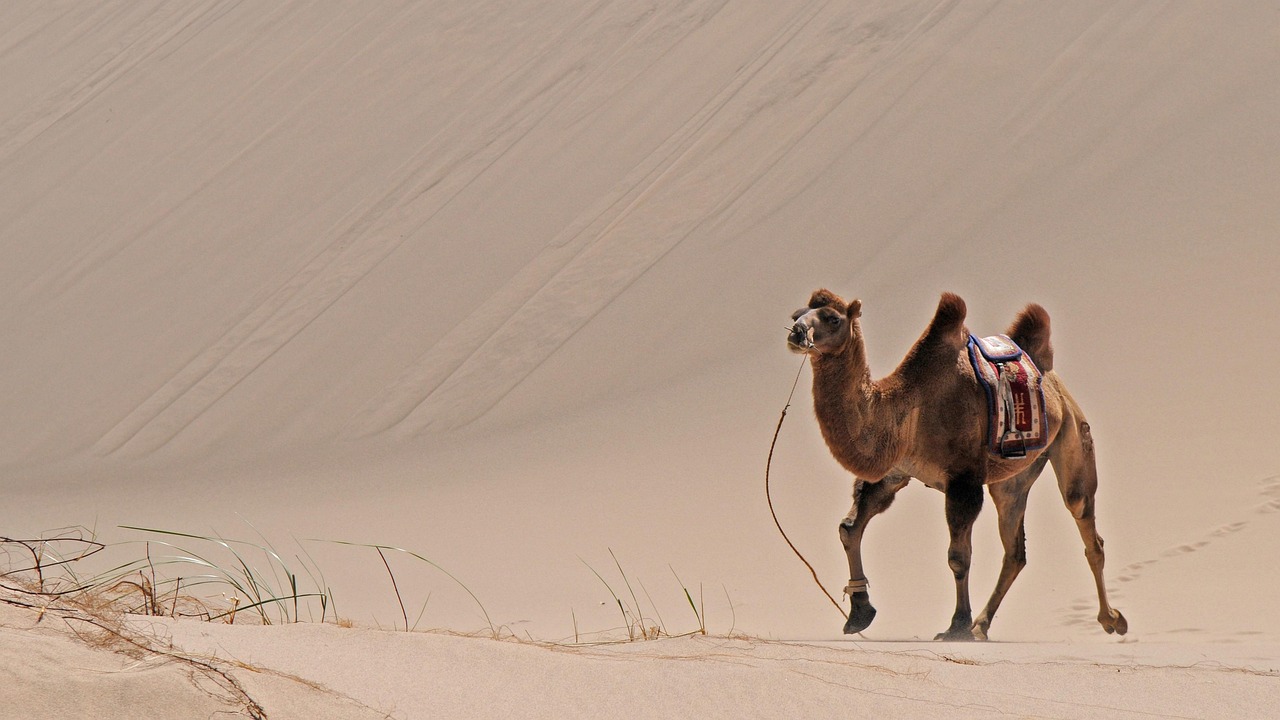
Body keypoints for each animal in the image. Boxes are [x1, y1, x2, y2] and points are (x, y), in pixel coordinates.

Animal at [786, 289, 1127, 640]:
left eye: (832, 318)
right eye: (796, 314)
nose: (796, 333)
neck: (909, 409)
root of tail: (1054, 382)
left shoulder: (963, 479)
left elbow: (958, 556)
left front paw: (957, 625)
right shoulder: (894, 471)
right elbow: (849, 528)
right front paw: (859, 613)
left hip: (1073, 433)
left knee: (1083, 517)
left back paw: (1111, 619)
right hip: (1011, 479)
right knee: (1014, 550)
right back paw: (982, 626)